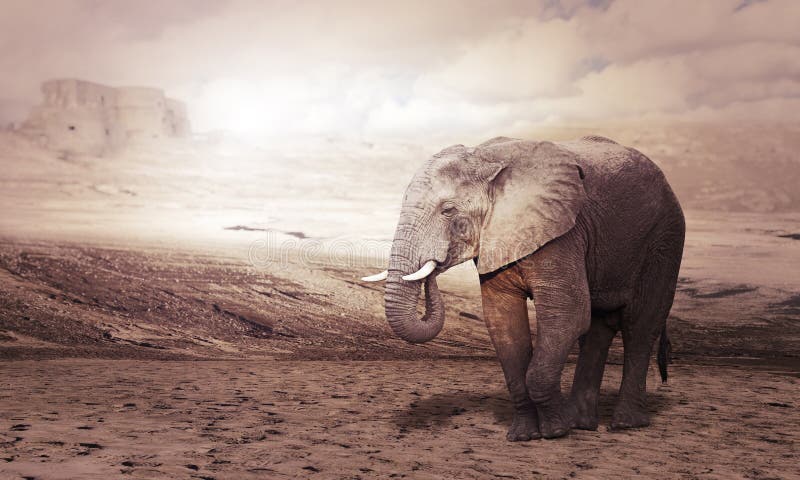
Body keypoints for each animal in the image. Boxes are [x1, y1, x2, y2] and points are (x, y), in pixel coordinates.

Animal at [362, 135, 685, 441]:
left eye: (448, 210)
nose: (433, 267)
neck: (486, 158)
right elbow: (502, 321)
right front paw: (524, 436)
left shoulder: (563, 232)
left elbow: (568, 314)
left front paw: (555, 431)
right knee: (597, 329)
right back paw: (581, 424)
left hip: (664, 240)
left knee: (639, 325)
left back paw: (625, 424)